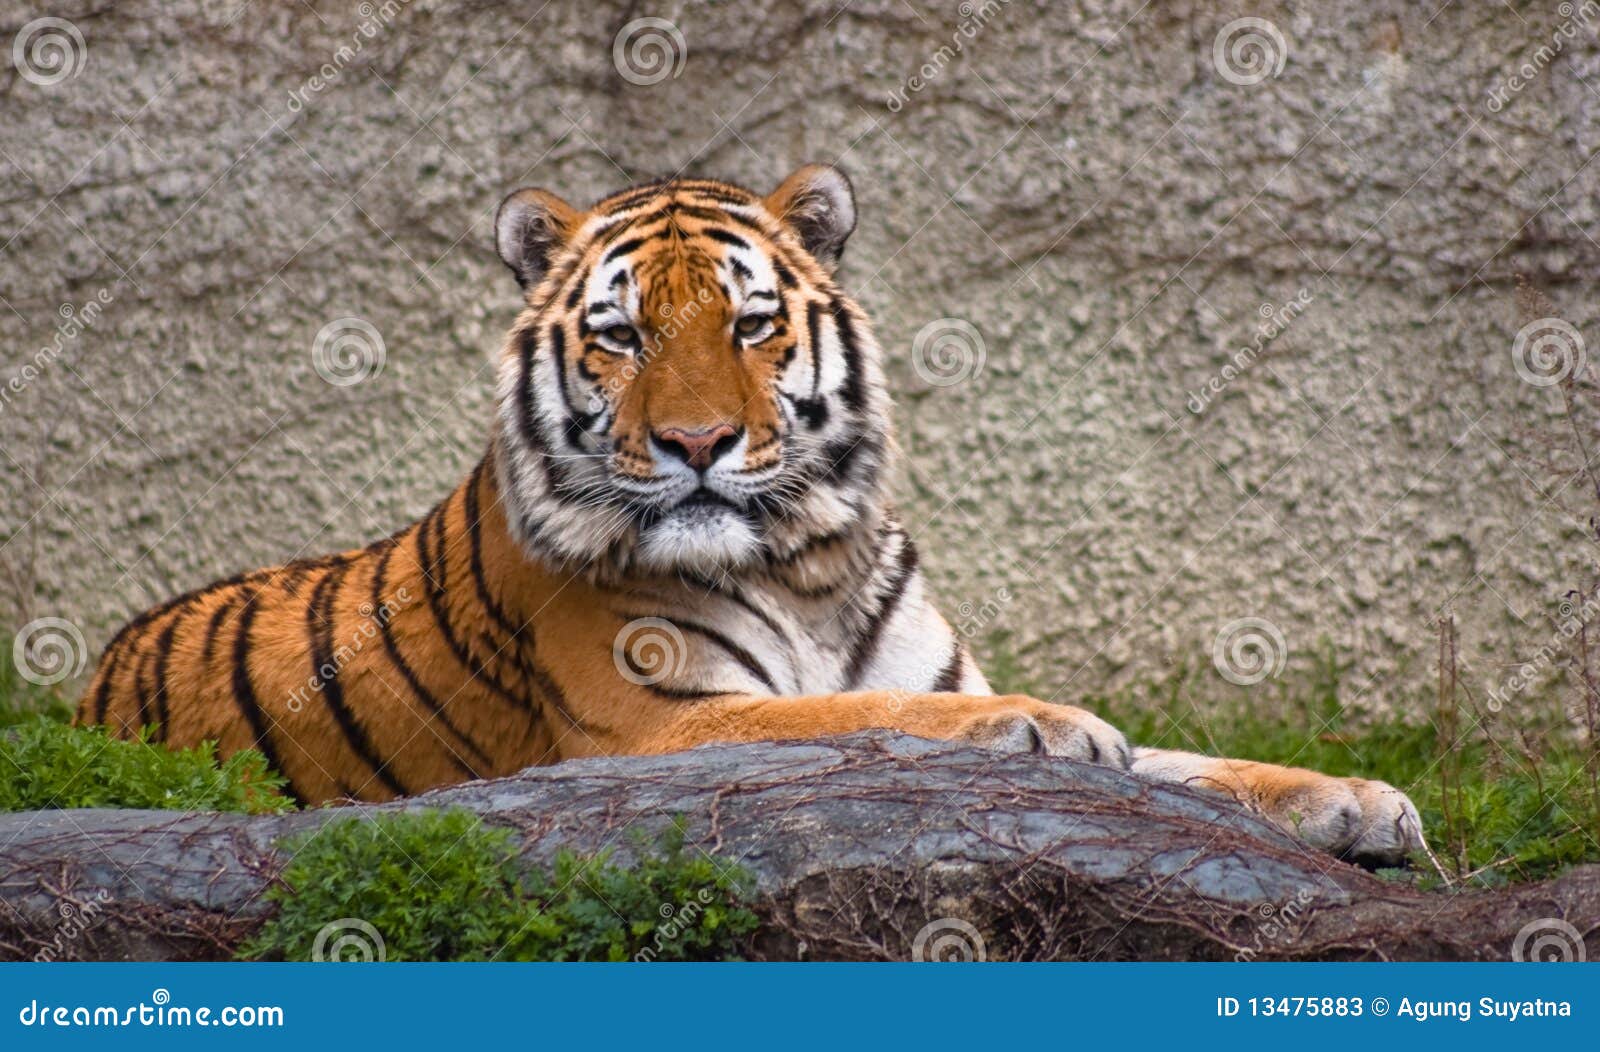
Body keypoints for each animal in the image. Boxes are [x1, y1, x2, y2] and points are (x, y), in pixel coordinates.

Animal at [80, 163, 1424, 867]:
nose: (695, 443)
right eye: (622, 334)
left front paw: (1354, 797)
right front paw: (1041, 726)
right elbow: (856, 714)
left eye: (749, 323)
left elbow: (1177, 759)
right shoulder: (650, 723)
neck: (803, 563)